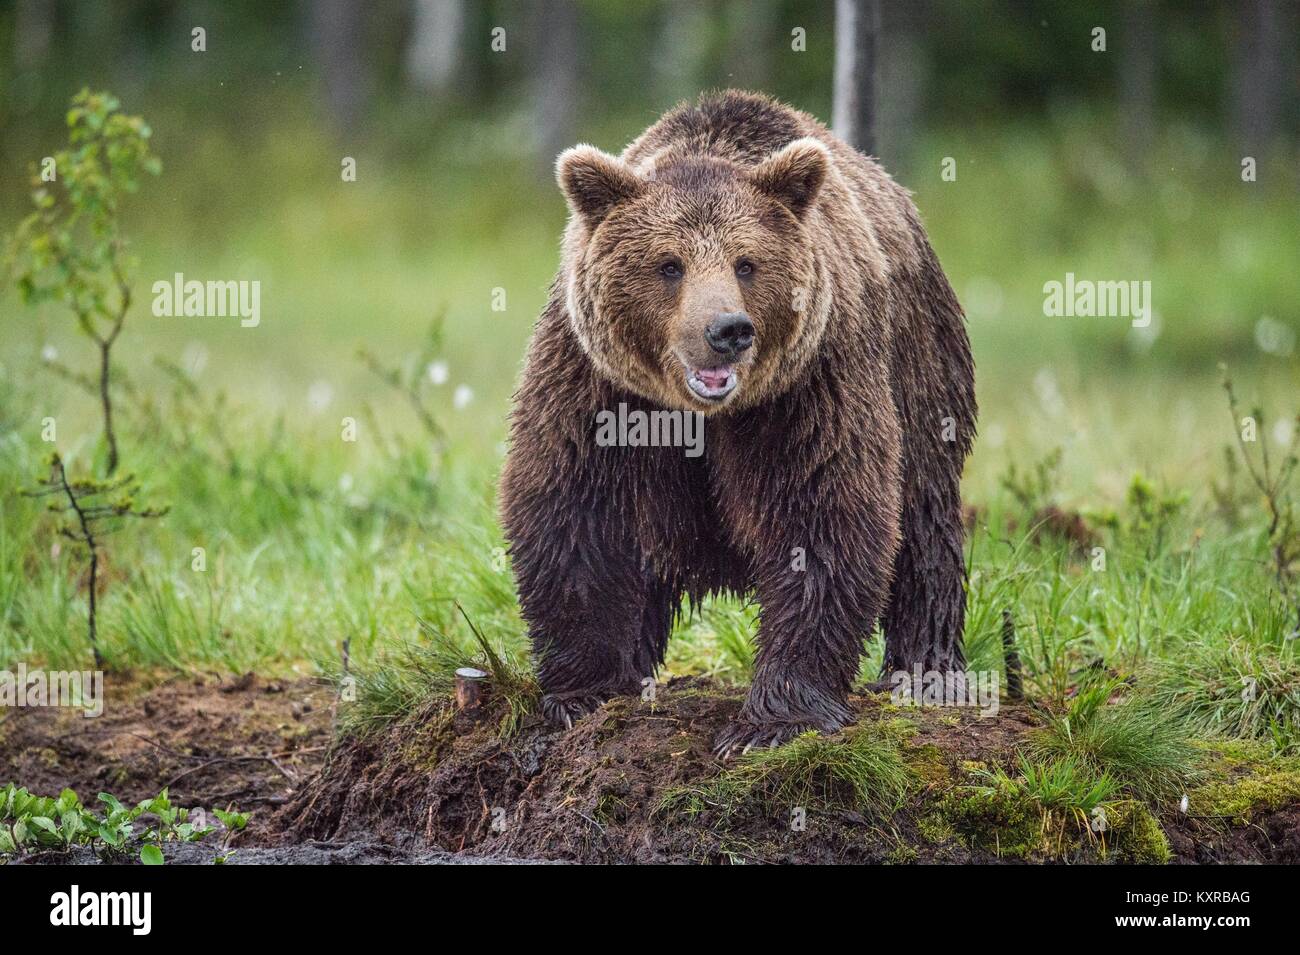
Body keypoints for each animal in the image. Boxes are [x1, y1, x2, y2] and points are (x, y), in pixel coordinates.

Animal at [499, 90, 976, 756]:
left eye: (746, 264)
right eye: (668, 265)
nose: (727, 330)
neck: (702, 416)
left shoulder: (808, 387)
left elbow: (821, 514)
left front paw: (773, 720)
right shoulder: (596, 387)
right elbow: (577, 511)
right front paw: (585, 692)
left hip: (920, 361)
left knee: (925, 518)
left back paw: (925, 672)